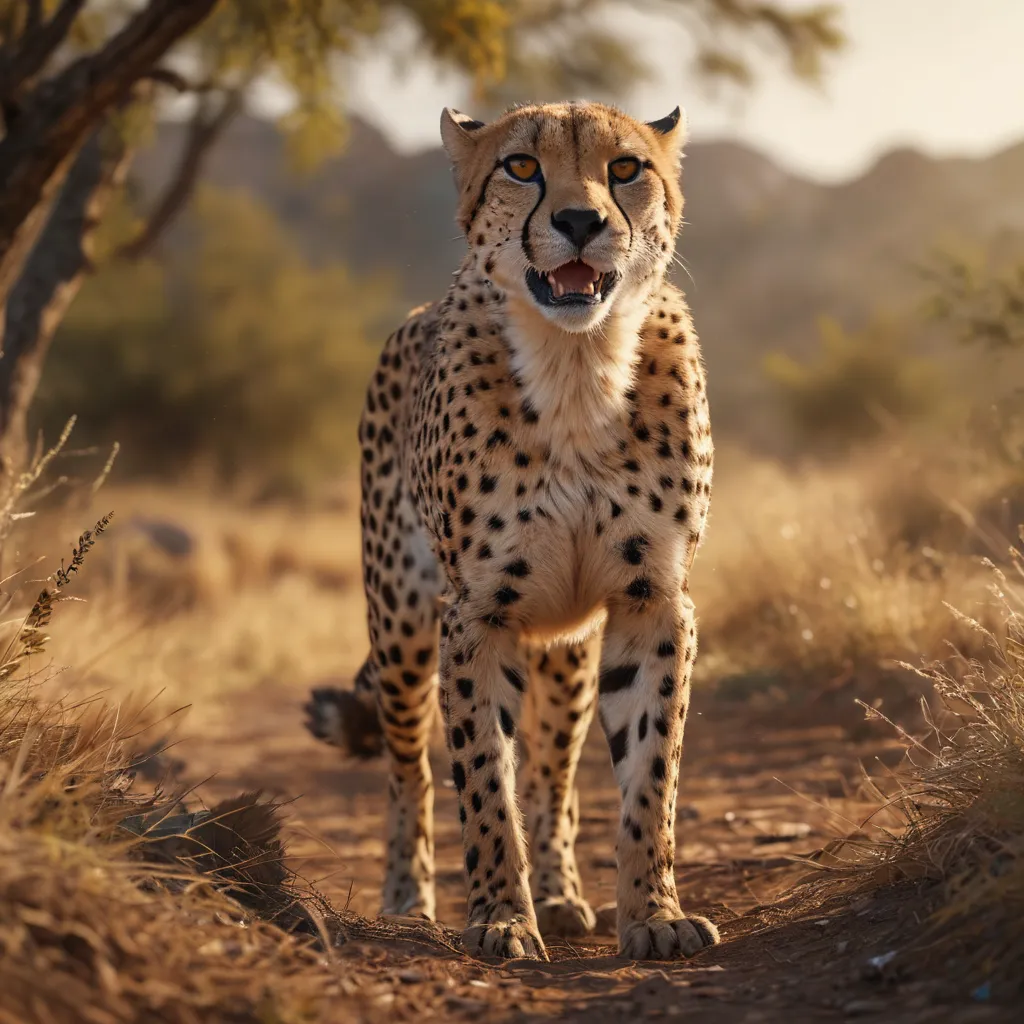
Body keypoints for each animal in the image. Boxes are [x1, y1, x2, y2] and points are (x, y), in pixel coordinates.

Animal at [305, 100, 716, 962]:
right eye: (521, 167)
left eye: (625, 168)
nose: (580, 220)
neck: (578, 363)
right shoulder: (475, 614)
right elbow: (481, 779)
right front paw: (499, 916)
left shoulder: (651, 601)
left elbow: (649, 777)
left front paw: (655, 914)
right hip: (400, 627)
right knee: (409, 768)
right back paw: (409, 899)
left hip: (566, 647)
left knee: (552, 774)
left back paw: (560, 892)